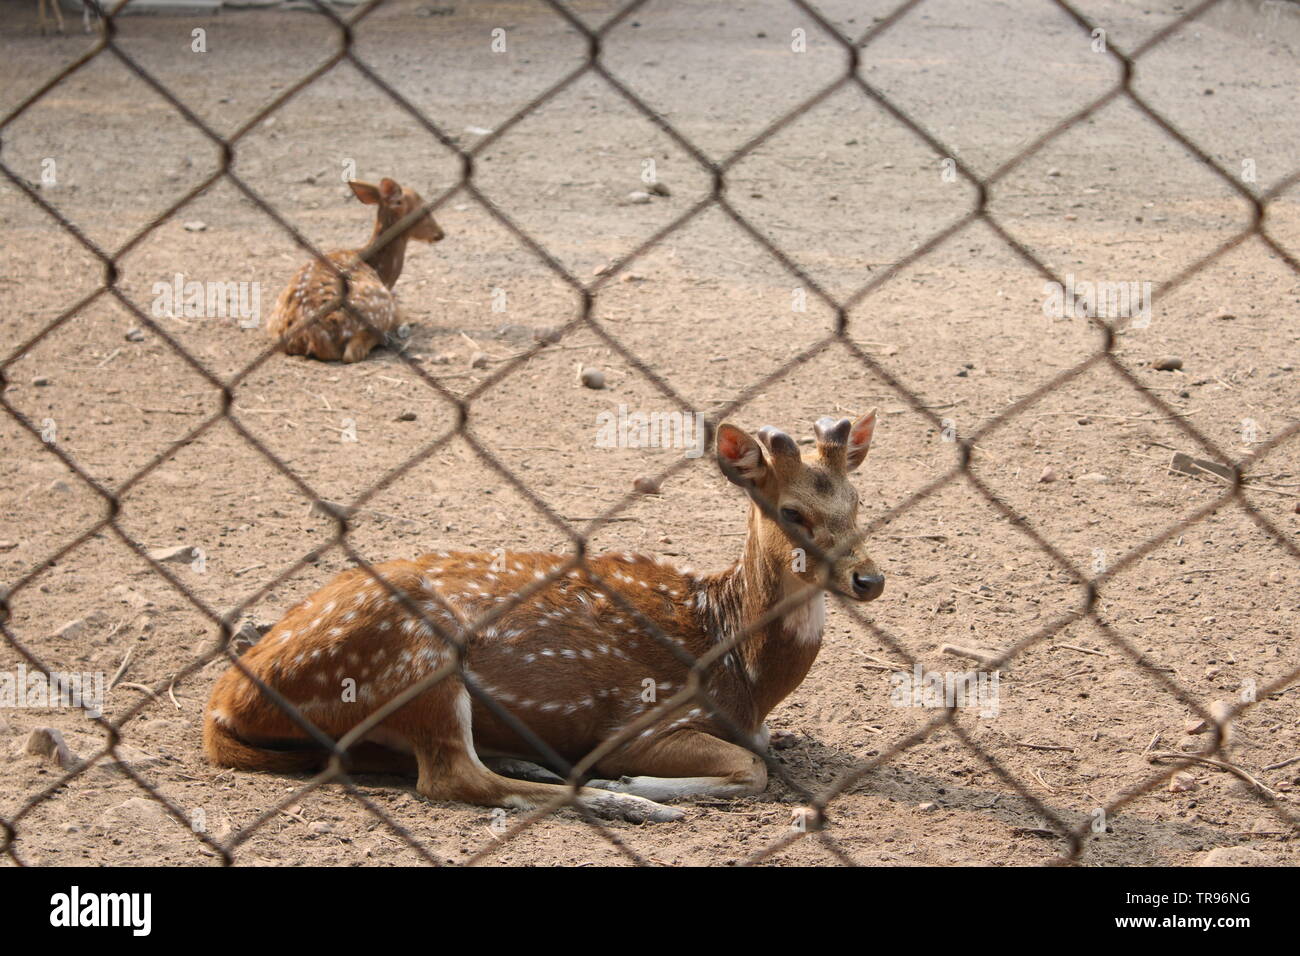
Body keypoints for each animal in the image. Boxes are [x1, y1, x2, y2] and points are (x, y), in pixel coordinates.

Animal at [203, 412, 885, 822]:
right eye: (792, 512)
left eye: (859, 502)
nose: (869, 579)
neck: (745, 676)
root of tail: (225, 702)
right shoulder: (647, 718)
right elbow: (752, 768)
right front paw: (637, 786)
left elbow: (762, 753)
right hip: (417, 653)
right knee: (451, 779)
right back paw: (624, 802)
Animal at [266, 178, 444, 364]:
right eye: (425, 208)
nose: (440, 233)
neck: (380, 271)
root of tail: (314, 338)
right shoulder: (394, 308)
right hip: (378, 306)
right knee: (352, 353)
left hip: (272, 322)